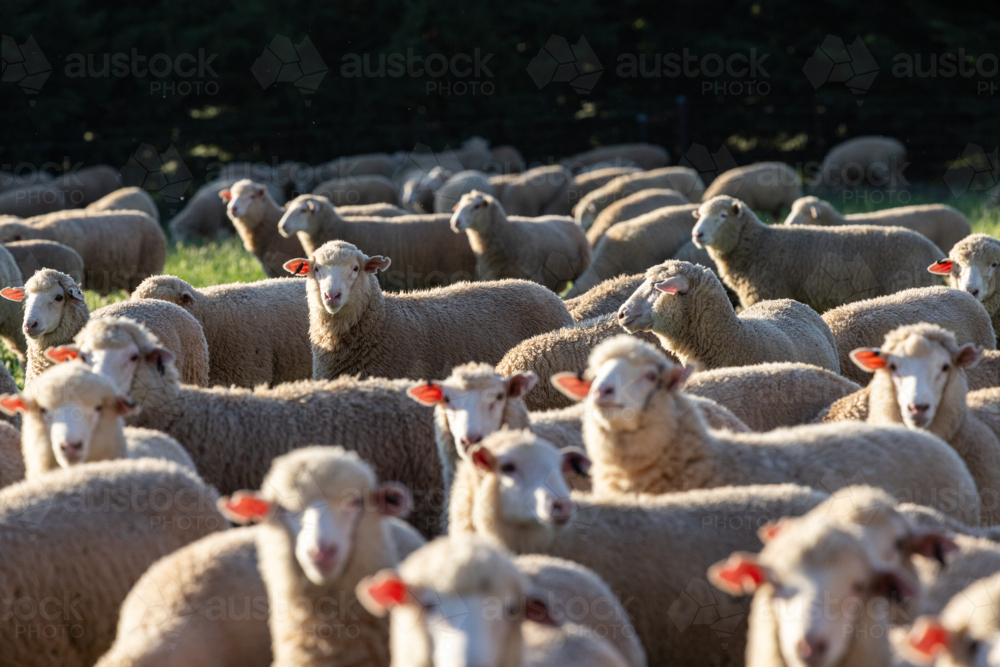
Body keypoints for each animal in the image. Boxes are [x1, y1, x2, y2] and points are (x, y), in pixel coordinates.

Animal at [451, 190, 591, 292]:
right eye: (459, 206)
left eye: (476, 206)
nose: (455, 222)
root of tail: (569, 219)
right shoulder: (493, 276)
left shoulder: (534, 275)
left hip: (581, 269)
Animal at [691, 195, 945, 311]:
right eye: (700, 214)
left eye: (723, 215)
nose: (697, 234)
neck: (759, 245)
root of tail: (933, 249)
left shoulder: (767, 293)